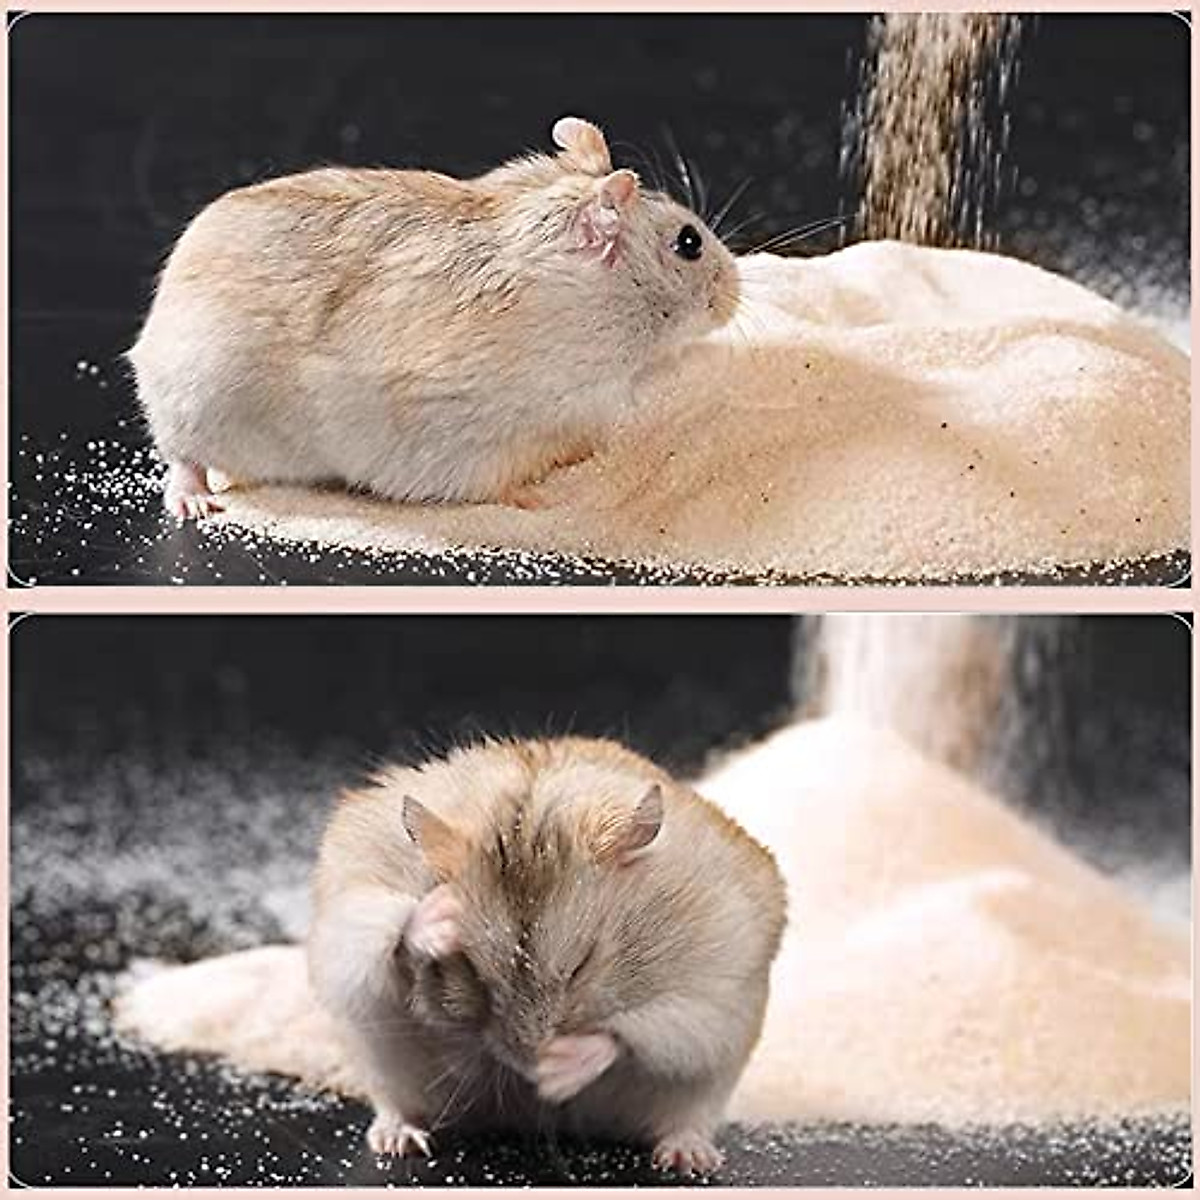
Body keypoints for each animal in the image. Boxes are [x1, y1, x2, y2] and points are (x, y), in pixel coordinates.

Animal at [128, 117, 741, 519]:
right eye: (689, 243)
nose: (735, 290)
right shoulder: (463, 430)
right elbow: (499, 481)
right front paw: (540, 500)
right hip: (192, 404)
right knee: (182, 459)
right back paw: (194, 503)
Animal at [307, 736, 786, 1176]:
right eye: (474, 973)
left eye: (582, 965)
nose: (529, 1069)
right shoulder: (345, 917)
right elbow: (380, 931)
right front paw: (443, 915)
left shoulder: (709, 986)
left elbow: (626, 1034)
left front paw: (556, 1072)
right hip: (381, 1058)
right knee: (395, 1106)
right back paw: (399, 1140)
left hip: (708, 1082)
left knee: (687, 1118)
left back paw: (688, 1157)